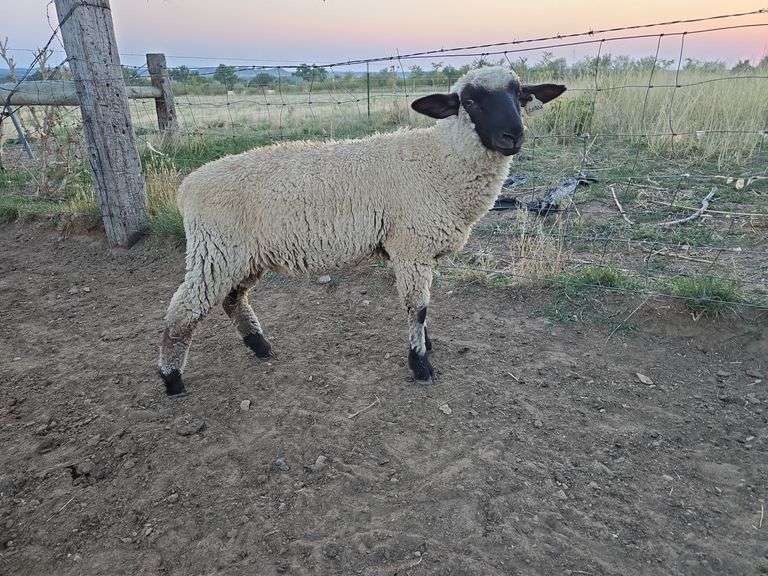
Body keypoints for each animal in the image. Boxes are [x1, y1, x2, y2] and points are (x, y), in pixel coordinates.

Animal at [158, 66, 566, 395]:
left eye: (520, 95)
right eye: (469, 101)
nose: (512, 136)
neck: (440, 161)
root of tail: (187, 187)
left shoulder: (419, 251)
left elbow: (424, 306)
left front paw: (426, 344)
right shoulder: (411, 246)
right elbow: (417, 307)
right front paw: (420, 364)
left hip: (243, 255)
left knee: (232, 300)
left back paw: (259, 346)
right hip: (216, 251)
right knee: (182, 311)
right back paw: (172, 380)